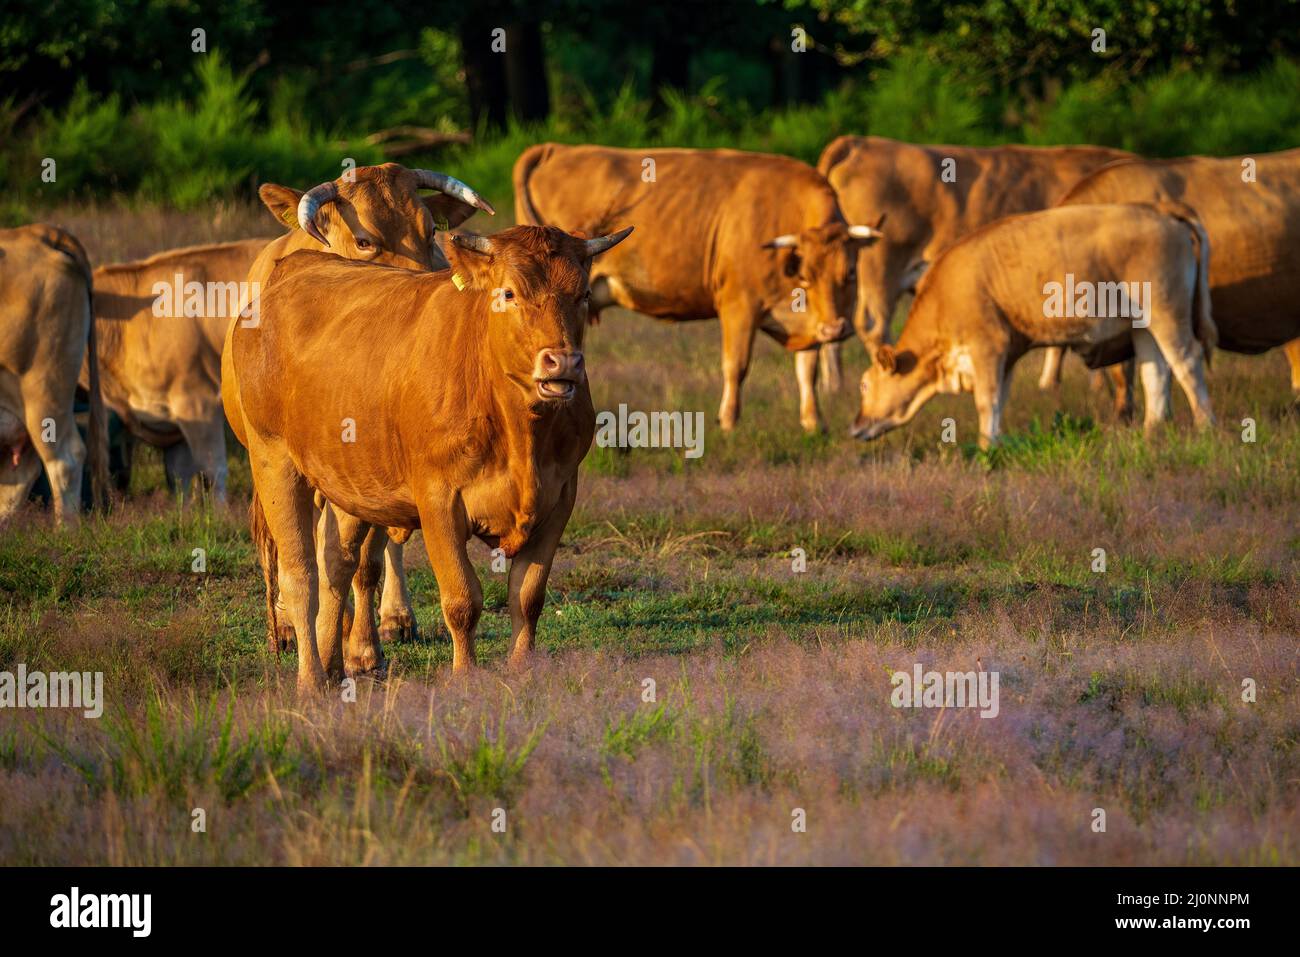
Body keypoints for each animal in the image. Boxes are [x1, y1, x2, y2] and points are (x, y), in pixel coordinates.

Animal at [220, 163, 497, 656]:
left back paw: (392, 618)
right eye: (365, 240)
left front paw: (362, 646)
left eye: (431, 231)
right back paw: (287, 627)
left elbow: (365, 559)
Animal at [231, 224, 632, 693]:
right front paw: (465, 675)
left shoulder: (559, 499)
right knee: (300, 576)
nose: (563, 362)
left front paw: (521, 670)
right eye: (509, 293)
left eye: (583, 294)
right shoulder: (439, 500)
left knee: (336, 565)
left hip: (347, 479)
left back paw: (333, 667)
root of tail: (296, 266)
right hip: (274, 461)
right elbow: (462, 598)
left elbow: (528, 596)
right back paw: (311, 680)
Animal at [513, 143, 882, 433]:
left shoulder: (805, 319)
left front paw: (814, 423)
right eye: (806, 276)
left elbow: (808, 368)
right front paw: (729, 422)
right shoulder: (739, 305)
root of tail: (556, 149)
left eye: (850, 272)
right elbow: (736, 365)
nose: (835, 328)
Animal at [851, 203, 1216, 448]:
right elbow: (998, 401)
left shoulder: (988, 348)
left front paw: (986, 449)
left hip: (1166, 314)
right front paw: (994, 444)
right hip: (1143, 327)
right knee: (1155, 373)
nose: (854, 427)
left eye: (865, 385)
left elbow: (986, 402)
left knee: (1187, 363)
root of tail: (1162, 212)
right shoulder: (1007, 355)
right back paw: (1150, 433)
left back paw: (1205, 428)